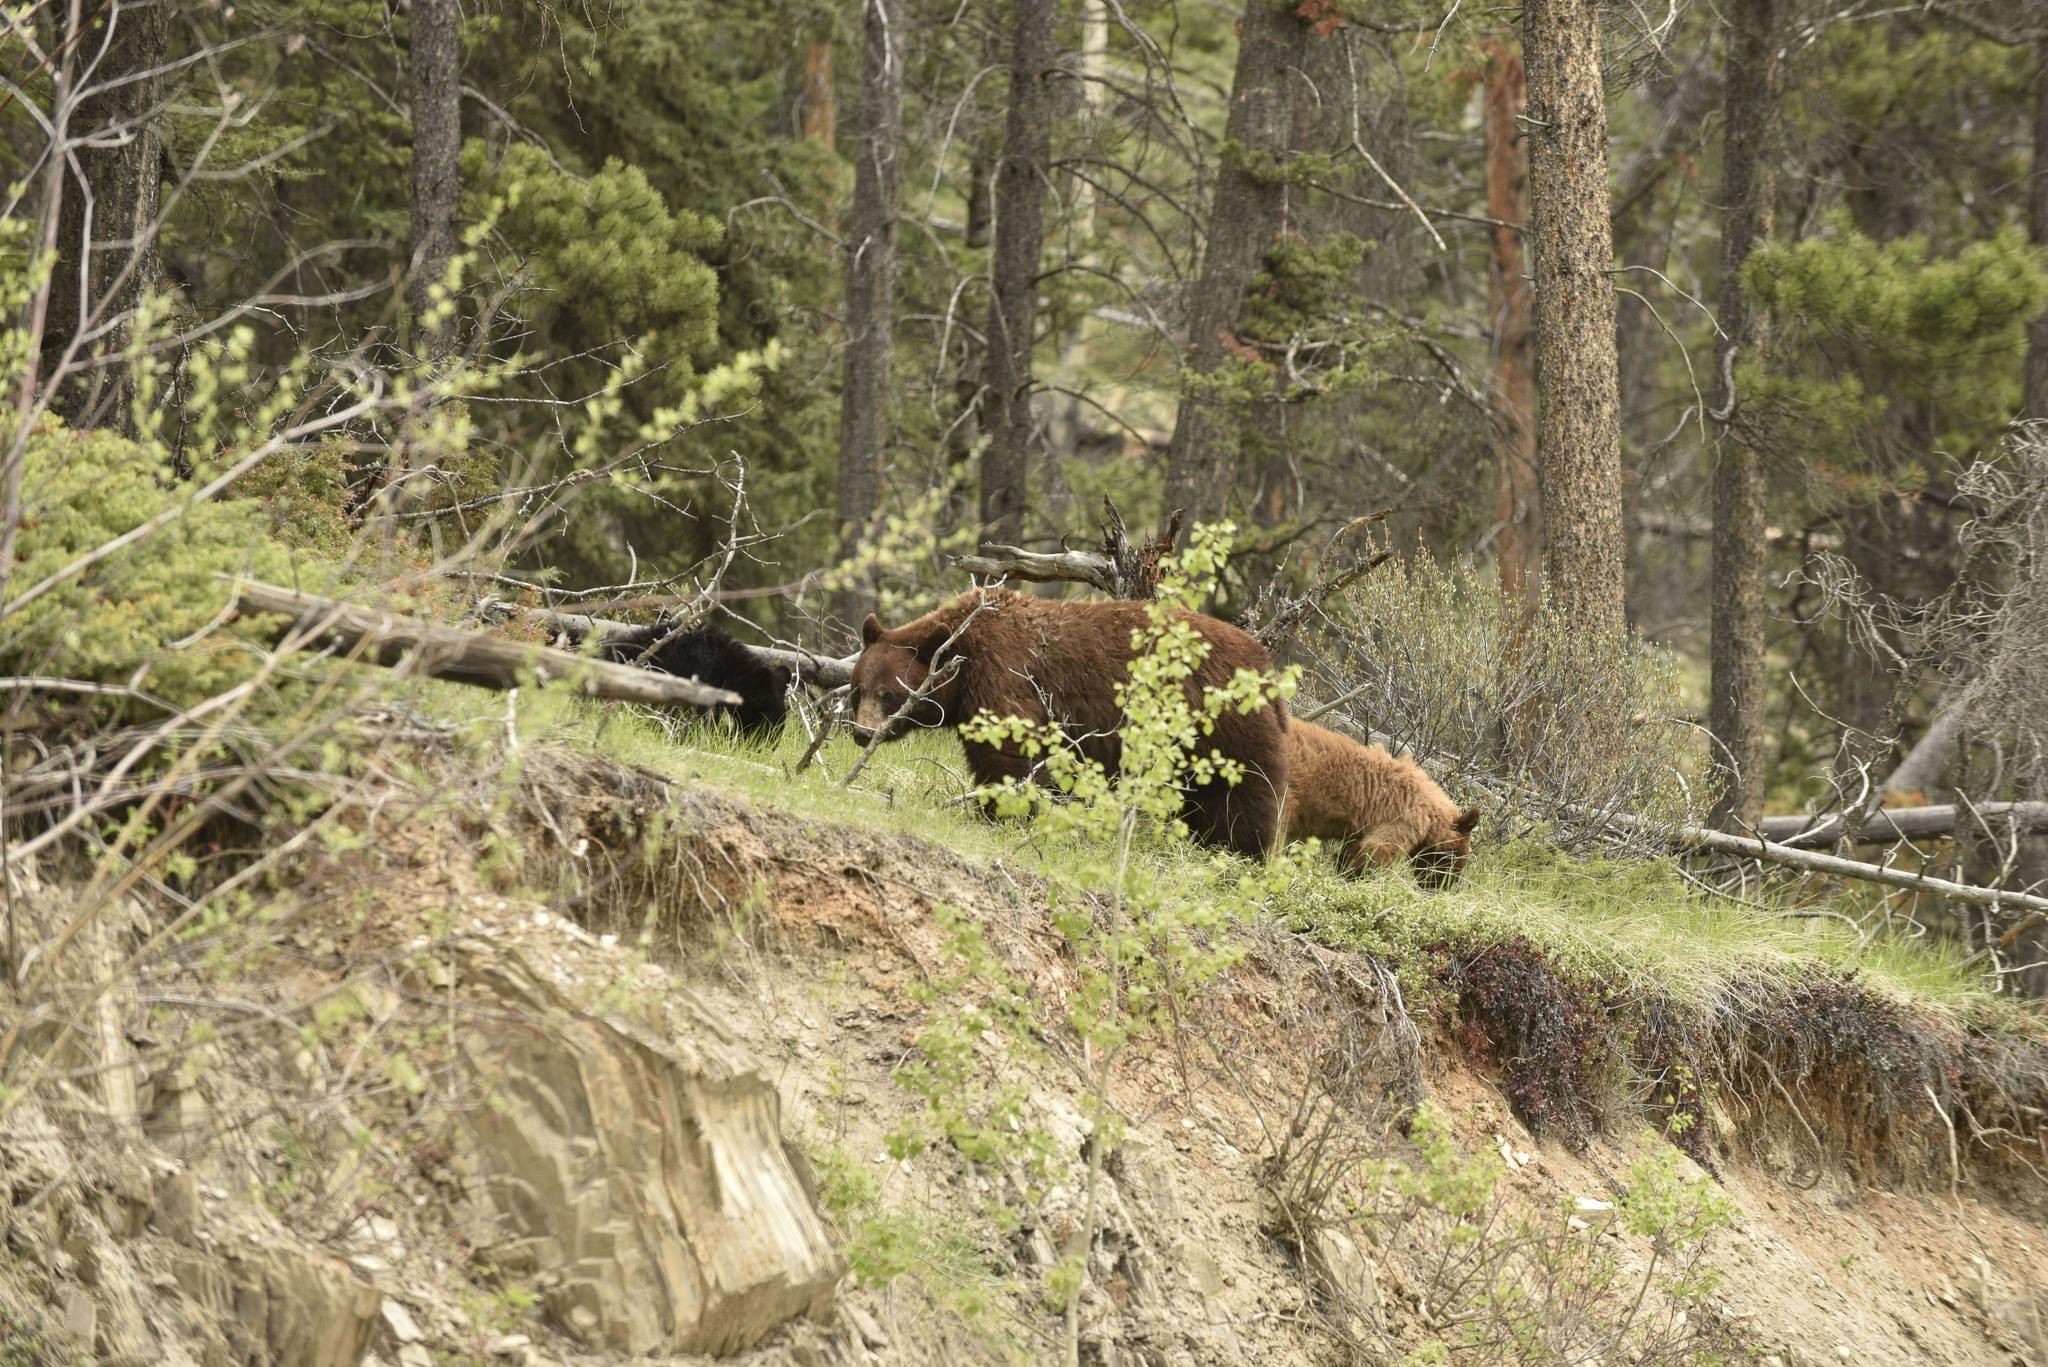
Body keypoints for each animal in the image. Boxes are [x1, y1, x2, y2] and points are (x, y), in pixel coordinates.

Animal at [849, 588, 1290, 857]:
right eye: (857, 690)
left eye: (888, 694)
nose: (862, 732)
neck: (966, 654)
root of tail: (1265, 665)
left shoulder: (1004, 675)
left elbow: (1009, 754)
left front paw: (1001, 814)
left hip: (1226, 727)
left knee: (1238, 798)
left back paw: (1237, 852)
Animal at [1282, 719, 1478, 887]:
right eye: (1455, 859)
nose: (1443, 887)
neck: (1430, 817)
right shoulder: (1402, 816)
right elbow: (1376, 851)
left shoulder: (1361, 829)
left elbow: (1353, 851)